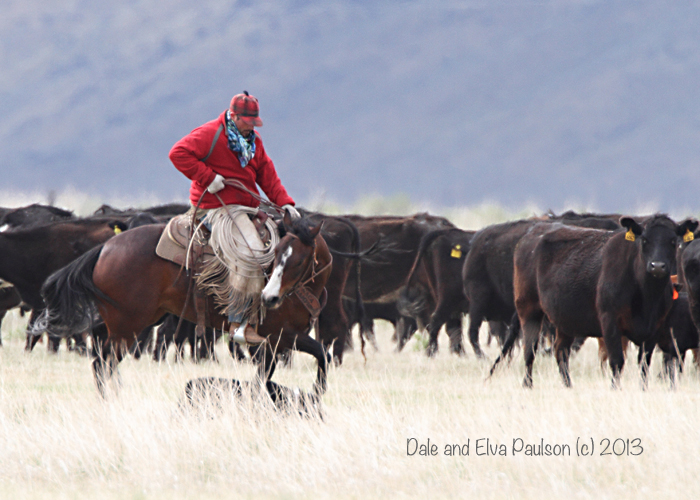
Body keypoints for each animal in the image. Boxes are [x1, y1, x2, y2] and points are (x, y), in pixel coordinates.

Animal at [503, 215, 695, 389]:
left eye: (673, 241)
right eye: (644, 240)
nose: (657, 266)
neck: (646, 298)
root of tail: (533, 232)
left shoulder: (654, 328)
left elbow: (644, 364)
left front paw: (643, 389)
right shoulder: (609, 321)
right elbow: (617, 361)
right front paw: (615, 388)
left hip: (566, 320)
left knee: (561, 351)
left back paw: (568, 385)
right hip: (528, 309)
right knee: (530, 350)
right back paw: (528, 384)